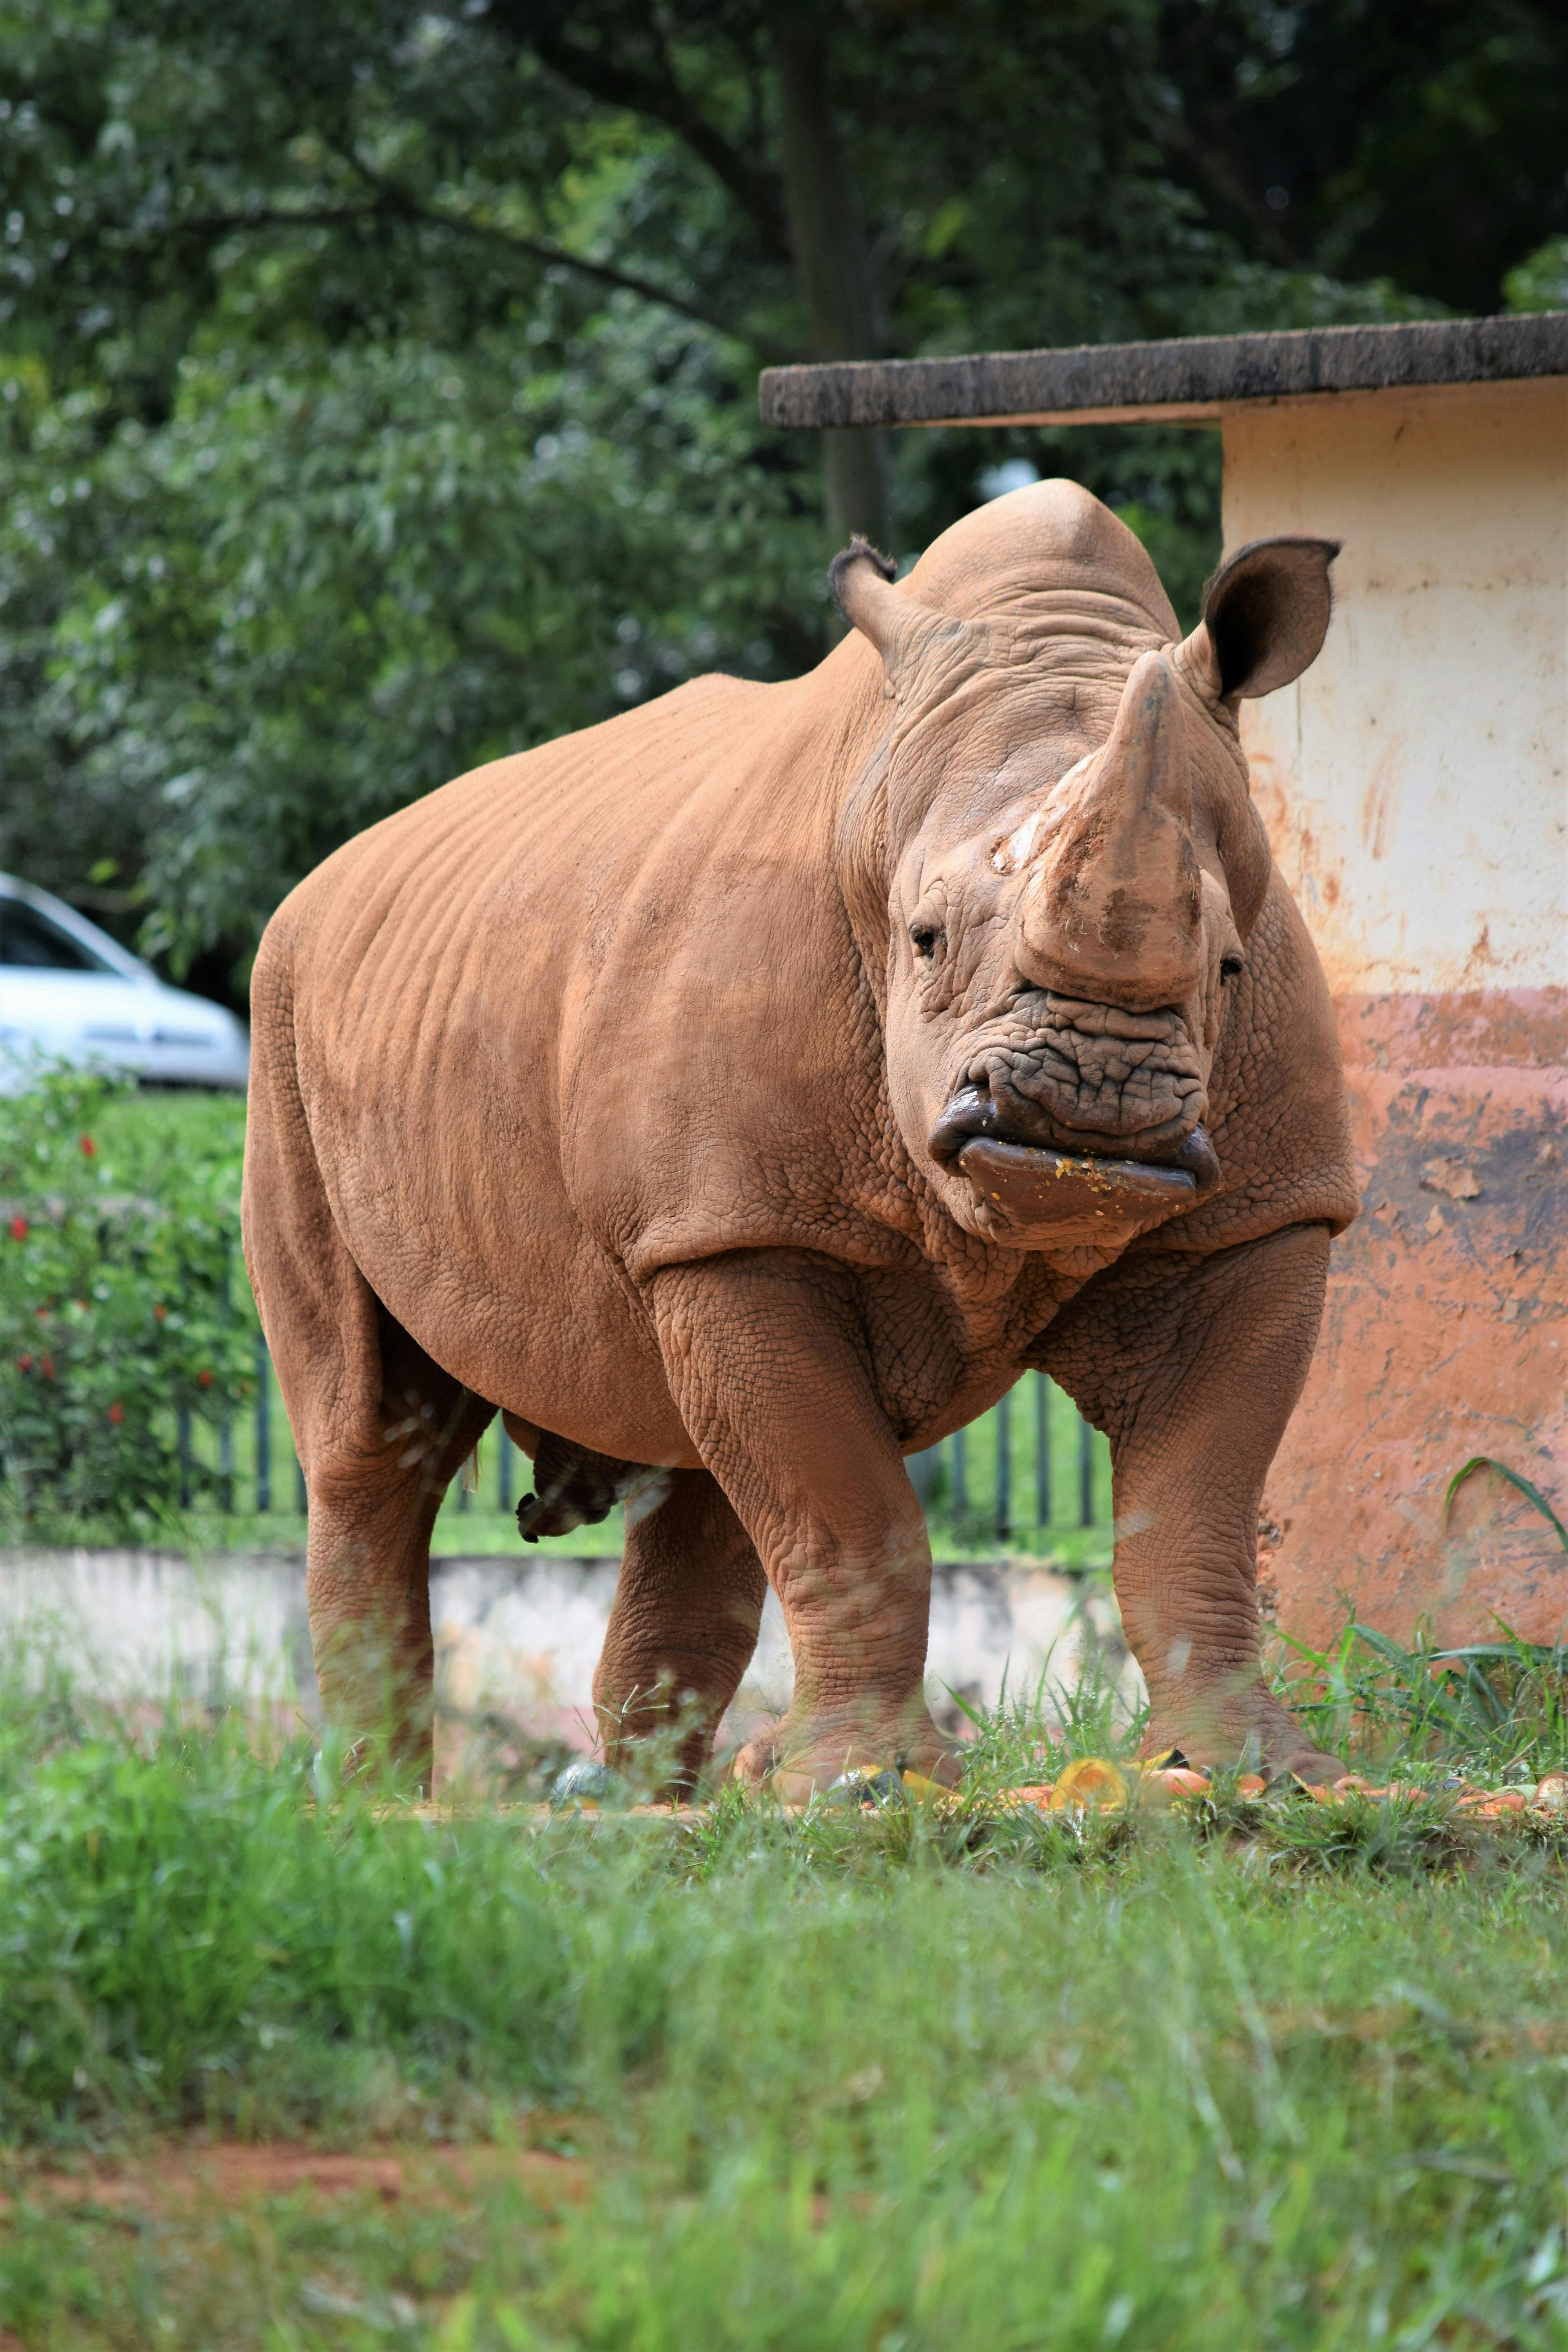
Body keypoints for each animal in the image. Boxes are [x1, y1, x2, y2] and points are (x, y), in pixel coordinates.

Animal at [243, 481, 1357, 1793]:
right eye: (924, 938)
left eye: (1226, 966)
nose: (1090, 1096)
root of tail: (339, 871)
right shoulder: (736, 1224)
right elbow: (847, 1505)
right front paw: (860, 1786)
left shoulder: (1259, 1215)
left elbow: (1196, 1506)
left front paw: (1254, 1772)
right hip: (286, 1020)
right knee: (372, 1443)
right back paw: (383, 1808)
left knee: (696, 1467)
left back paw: (643, 1807)